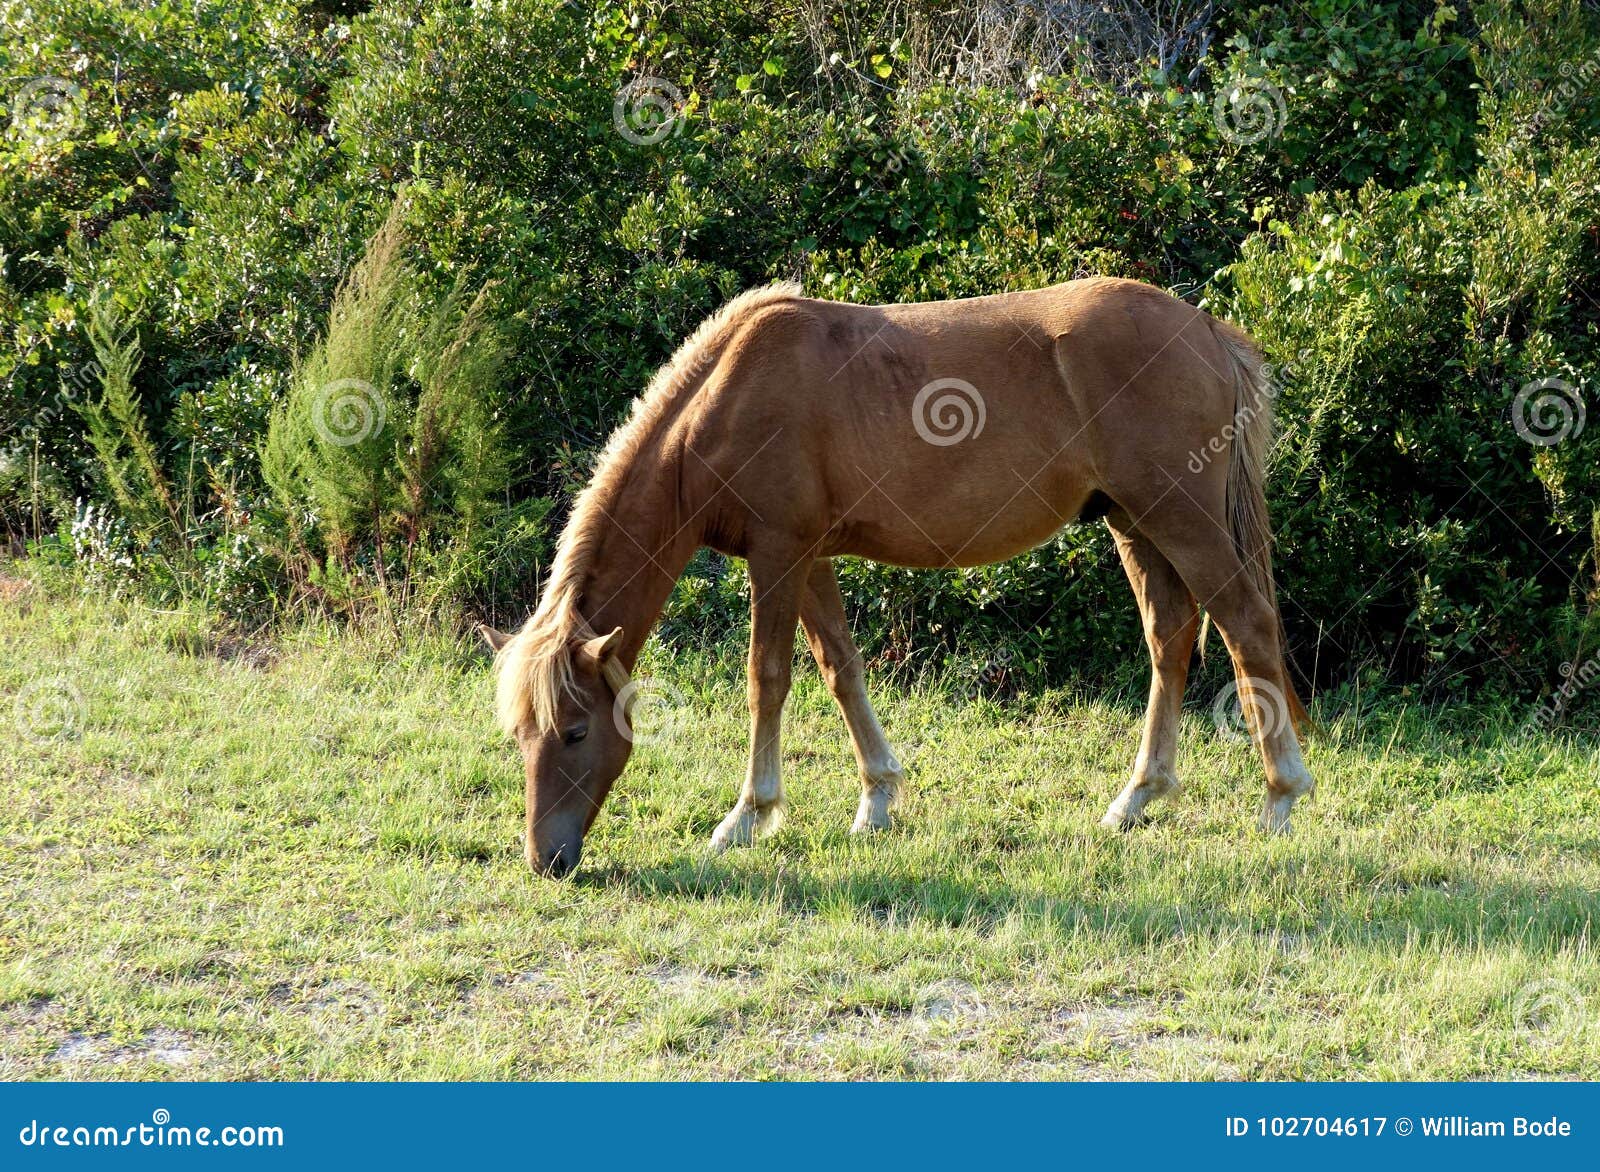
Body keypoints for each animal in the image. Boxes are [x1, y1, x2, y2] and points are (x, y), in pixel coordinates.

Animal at [479, 278, 1313, 878]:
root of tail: (1205, 330)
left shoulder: (779, 553)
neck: (725, 398)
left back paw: (1281, 798)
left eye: (576, 730)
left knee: (1245, 624)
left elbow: (768, 678)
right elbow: (840, 668)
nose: (545, 861)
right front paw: (877, 799)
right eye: (518, 733)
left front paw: (747, 815)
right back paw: (1136, 799)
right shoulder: (811, 558)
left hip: (1178, 517)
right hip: (1135, 523)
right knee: (1171, 639)